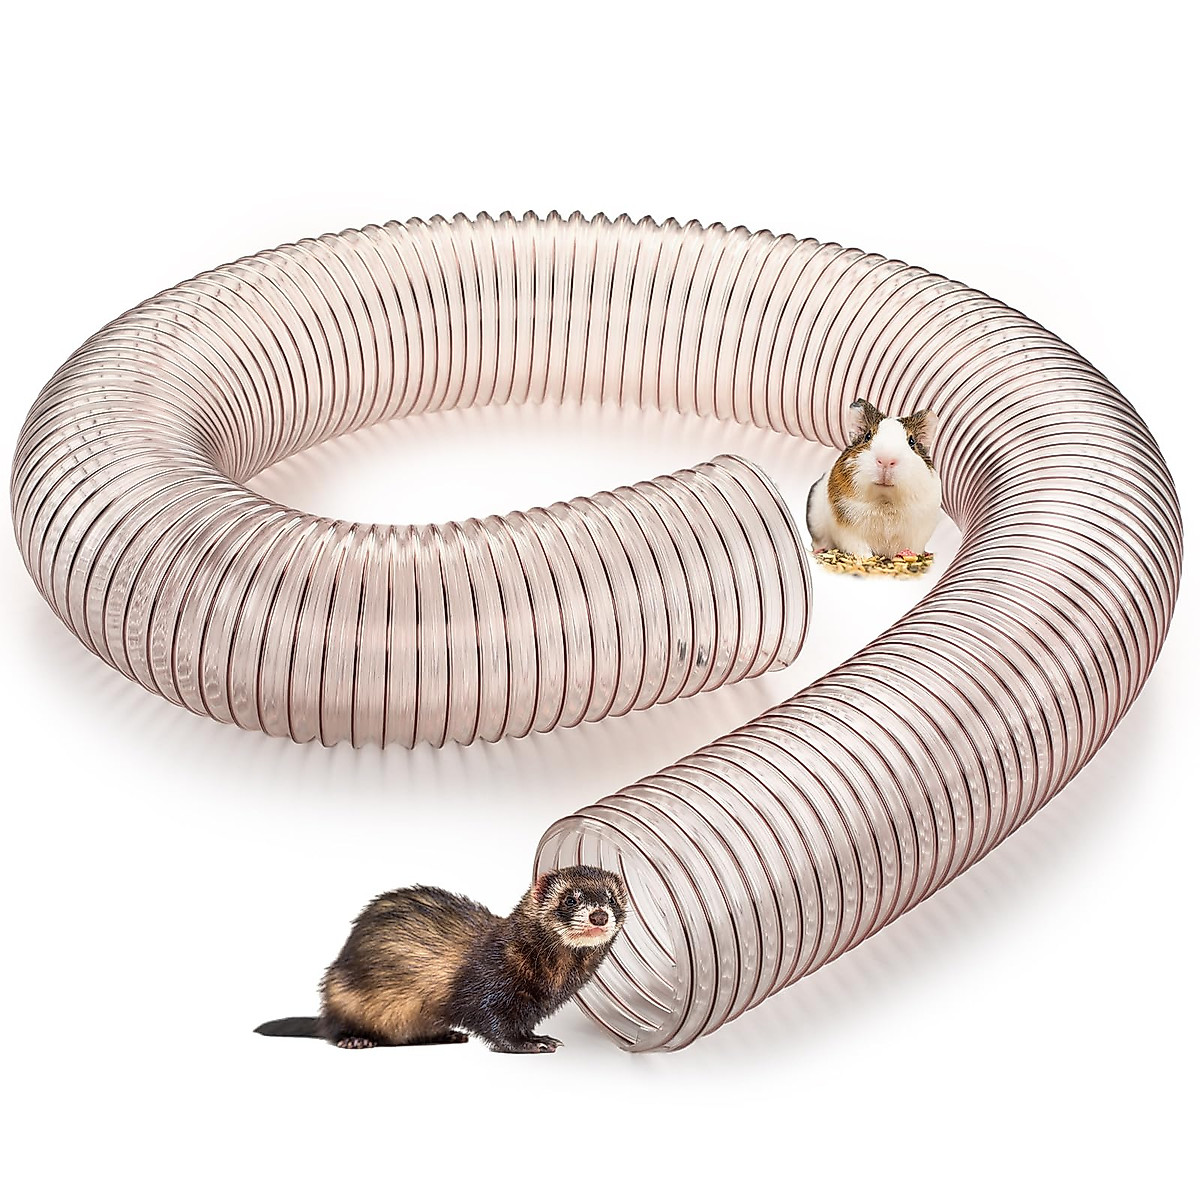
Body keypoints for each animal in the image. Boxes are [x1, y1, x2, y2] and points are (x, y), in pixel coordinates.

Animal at [806, 398, 942, 558]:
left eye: (912, 442)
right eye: (867, 436)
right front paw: (867, 558)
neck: (885, 501)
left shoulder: (918, 533)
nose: (886, 460)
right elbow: (860, 550)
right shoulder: (850, 531)